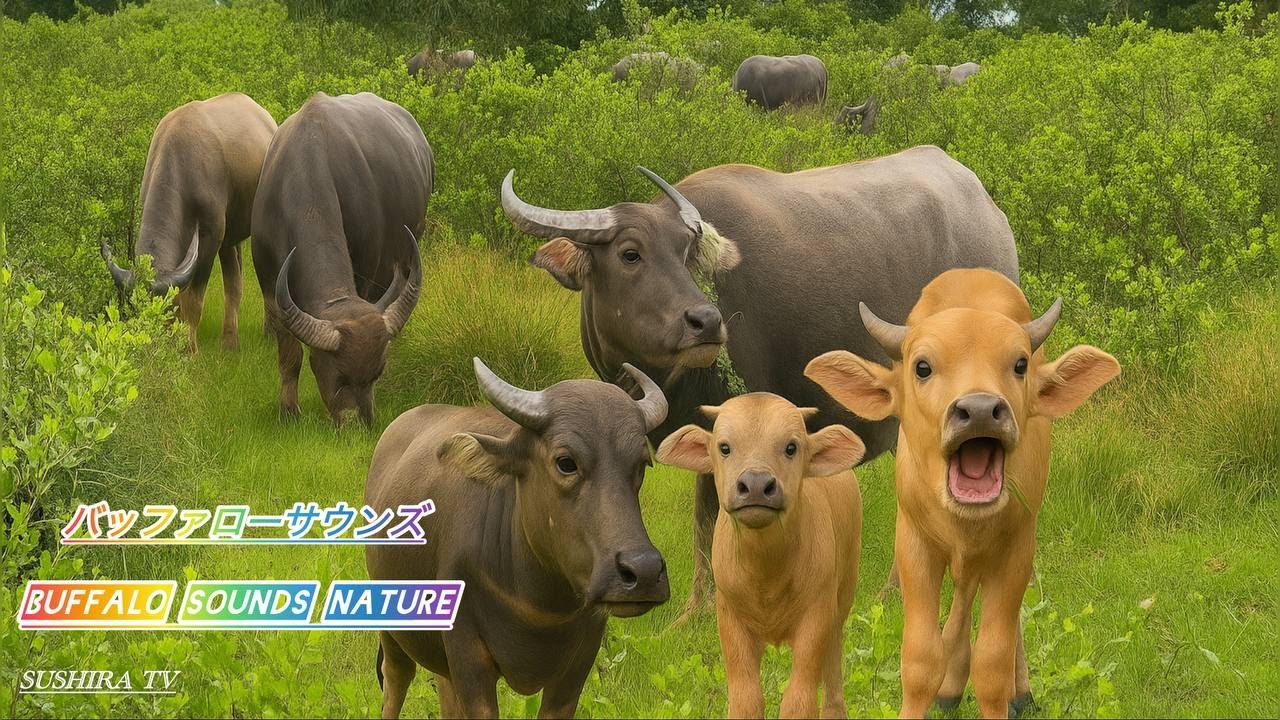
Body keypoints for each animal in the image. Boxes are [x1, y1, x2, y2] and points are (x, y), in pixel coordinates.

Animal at [101, 92, 276, 351]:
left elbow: (193, 299)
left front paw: (189, 348)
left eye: (166, 309)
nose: (152, 342)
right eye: (134, 307)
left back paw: (268, 332)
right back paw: (229, 340)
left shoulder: (210, 239)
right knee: (234, 280)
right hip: (230, 238)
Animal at [251, 92, 432, 427]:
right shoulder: (268, 281)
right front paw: (289, 410)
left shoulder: (368, 272)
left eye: (377, 373)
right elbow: (289, 354)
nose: (356, 423)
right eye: (338, 375)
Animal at [366, 358, 670, 718]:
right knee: (396, 678)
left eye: (641, 463)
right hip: (390, 627)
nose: (644, 572)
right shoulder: (468, 656)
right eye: (566, 462)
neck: (538, 605)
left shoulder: (578, 664)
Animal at [502, 146, 1019, 612]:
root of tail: (992, 217)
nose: (707, 321)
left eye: (685, 255)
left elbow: (711, 511)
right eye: (631, 254)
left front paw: (703, 607)